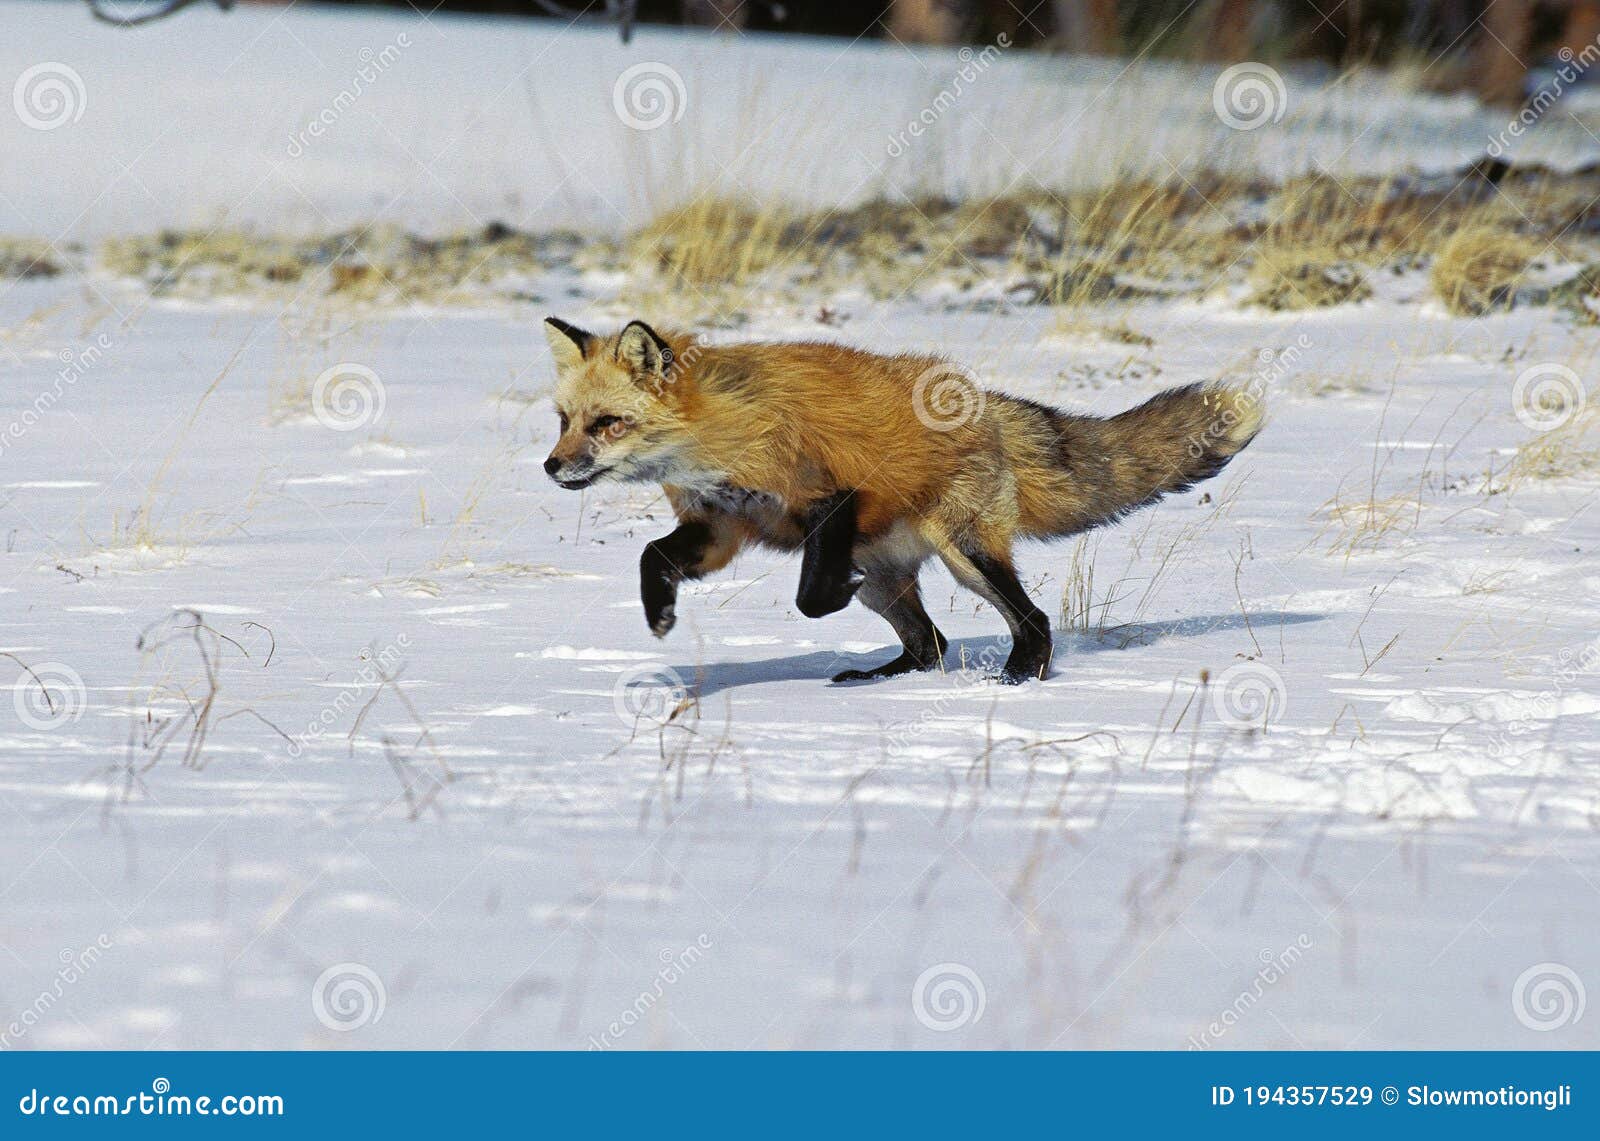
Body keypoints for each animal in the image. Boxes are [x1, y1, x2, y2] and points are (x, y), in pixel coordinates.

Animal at [541, 316, 1263, 684]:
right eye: (564, 420)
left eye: (607, 423)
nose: (551, 467)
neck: (714, 435)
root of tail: (984, 403)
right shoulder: (719, 526)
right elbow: (651, 557)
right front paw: (659, 614)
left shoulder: (827, 497)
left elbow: (810, 599)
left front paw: (824, 596)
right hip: (891, 582)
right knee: (931, 644)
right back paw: (884, 677)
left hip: (966, 554)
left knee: (1030, 620)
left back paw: (1019, 675)